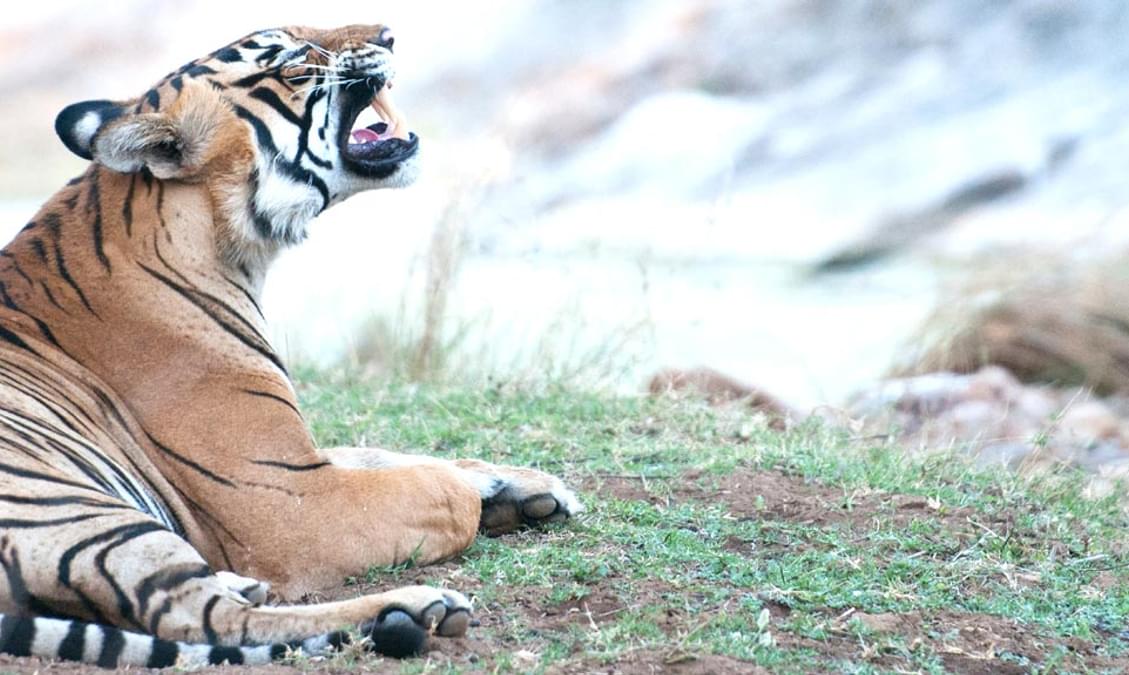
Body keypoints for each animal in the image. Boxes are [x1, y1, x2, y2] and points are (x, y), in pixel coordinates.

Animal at [0, 24, 581, 668]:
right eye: (292, 61)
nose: (388, 33)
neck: (231, 248)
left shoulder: (300, 454)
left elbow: (383, 453)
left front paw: (526, 486)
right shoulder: (288, 495)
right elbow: (442, 494)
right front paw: (483, 497)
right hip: (80, 508)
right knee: (208, 620)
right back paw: (413, 609)